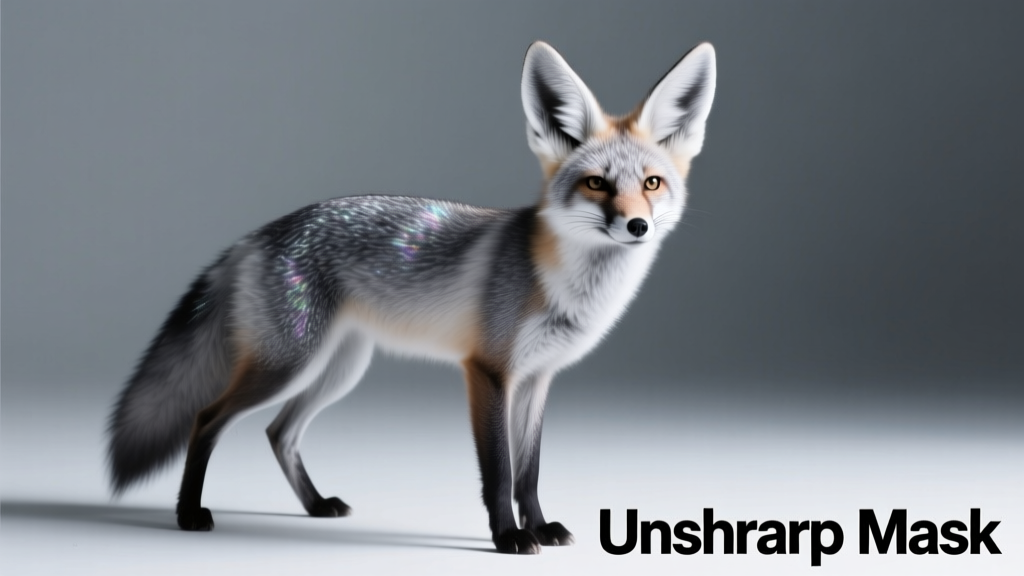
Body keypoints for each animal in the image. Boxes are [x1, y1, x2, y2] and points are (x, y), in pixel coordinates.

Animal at [107, 40, 716, 554]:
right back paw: (189, 513)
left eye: (652, 184)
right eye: (596, 184)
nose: (637, 226)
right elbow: (499, 472)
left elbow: (529, 472)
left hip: (336, 369)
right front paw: (508, 537)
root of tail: (257, 234)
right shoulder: (489, 372)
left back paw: (315, 505)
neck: (566, 288)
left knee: (278, 432)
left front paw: (539, 526)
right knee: (207, 418)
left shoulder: (538, 380)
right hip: (287, 365)